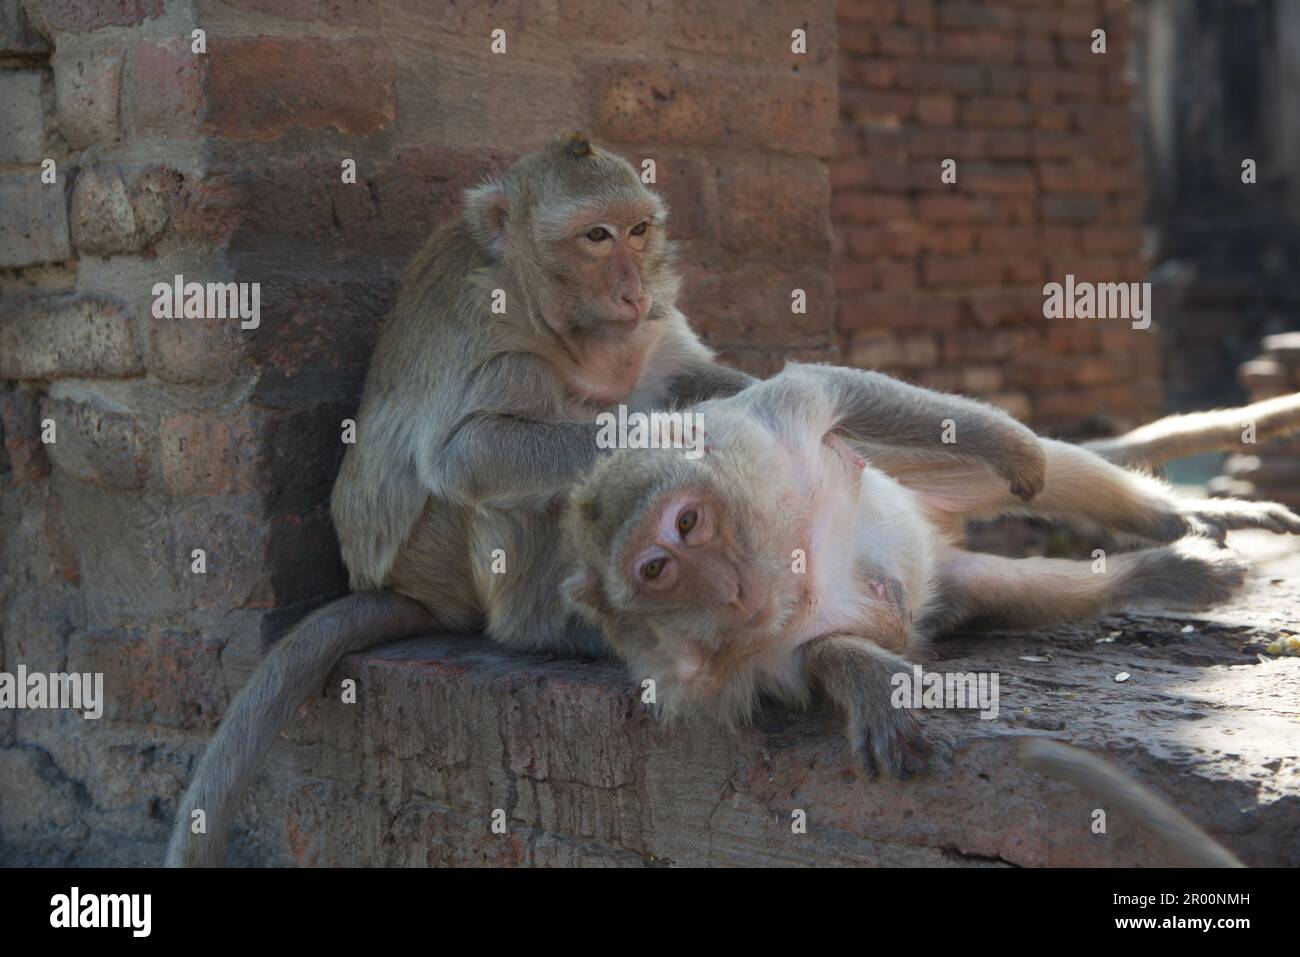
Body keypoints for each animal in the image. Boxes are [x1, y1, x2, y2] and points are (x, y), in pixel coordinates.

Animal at [166, 132, 754, 867]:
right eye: (595, 236)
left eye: (639, 230)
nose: (633, 287)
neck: (568, 326)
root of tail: (398, 589)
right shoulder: (489, 325)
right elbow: (465, 452)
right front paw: (686, 438)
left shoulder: (650, 329)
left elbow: (686, 375)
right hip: (438, 556)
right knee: (500, 480)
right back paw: (549, 629)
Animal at [562, 364, 1300, 780]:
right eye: (656, 569)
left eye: (687, 522)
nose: (724, 586)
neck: (787, 557)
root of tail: (938, 530)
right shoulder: (716, 669)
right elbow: (824, 657)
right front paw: (867, 681)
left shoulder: (768, 429)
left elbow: (835, 389)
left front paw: (1016, 449)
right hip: (953, 572)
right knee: (1025, 589)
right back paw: (1168, 572)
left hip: (917, 469)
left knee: (1049, 467)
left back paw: (1175, 515)